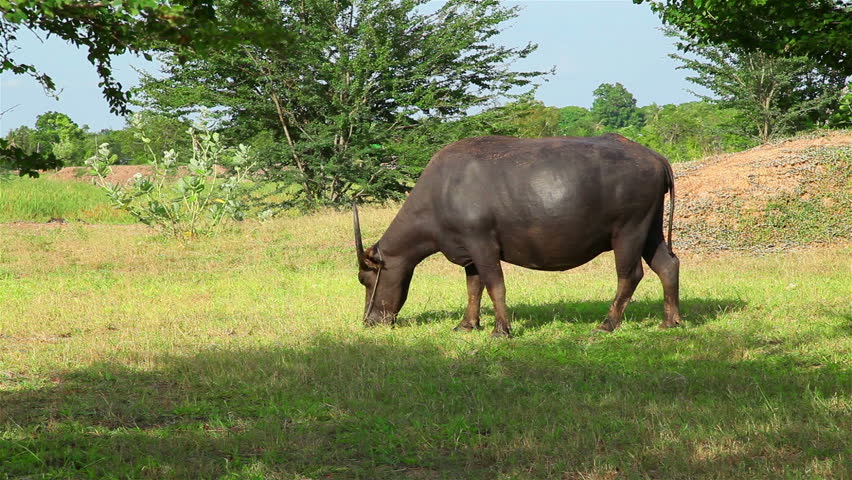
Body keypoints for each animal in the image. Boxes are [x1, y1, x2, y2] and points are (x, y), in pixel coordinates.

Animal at [354, 133, 681, 336]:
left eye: (366, 279)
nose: (369, 321)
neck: (443, 191)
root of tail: (655, 157)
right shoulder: (468, 252)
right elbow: (473, 288)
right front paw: (466, 325)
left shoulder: (482, 244)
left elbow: (494, 285)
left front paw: (501, 329)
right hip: (650, 229)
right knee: (667, 265)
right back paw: (671, 321)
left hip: (628, 230)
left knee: (630, 275)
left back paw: (607, 324)